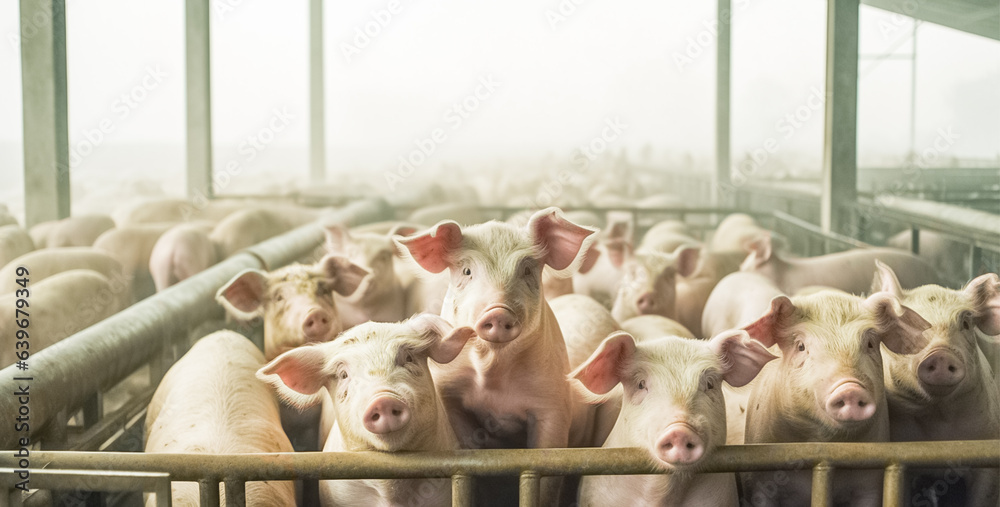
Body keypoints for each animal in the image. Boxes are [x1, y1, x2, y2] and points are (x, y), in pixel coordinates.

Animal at [394, 207, 597, 505]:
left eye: (527, 269)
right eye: (467, 270)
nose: (498, 312)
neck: (493, 375)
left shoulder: (554, 405)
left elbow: (547, 469)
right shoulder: (450, 396)